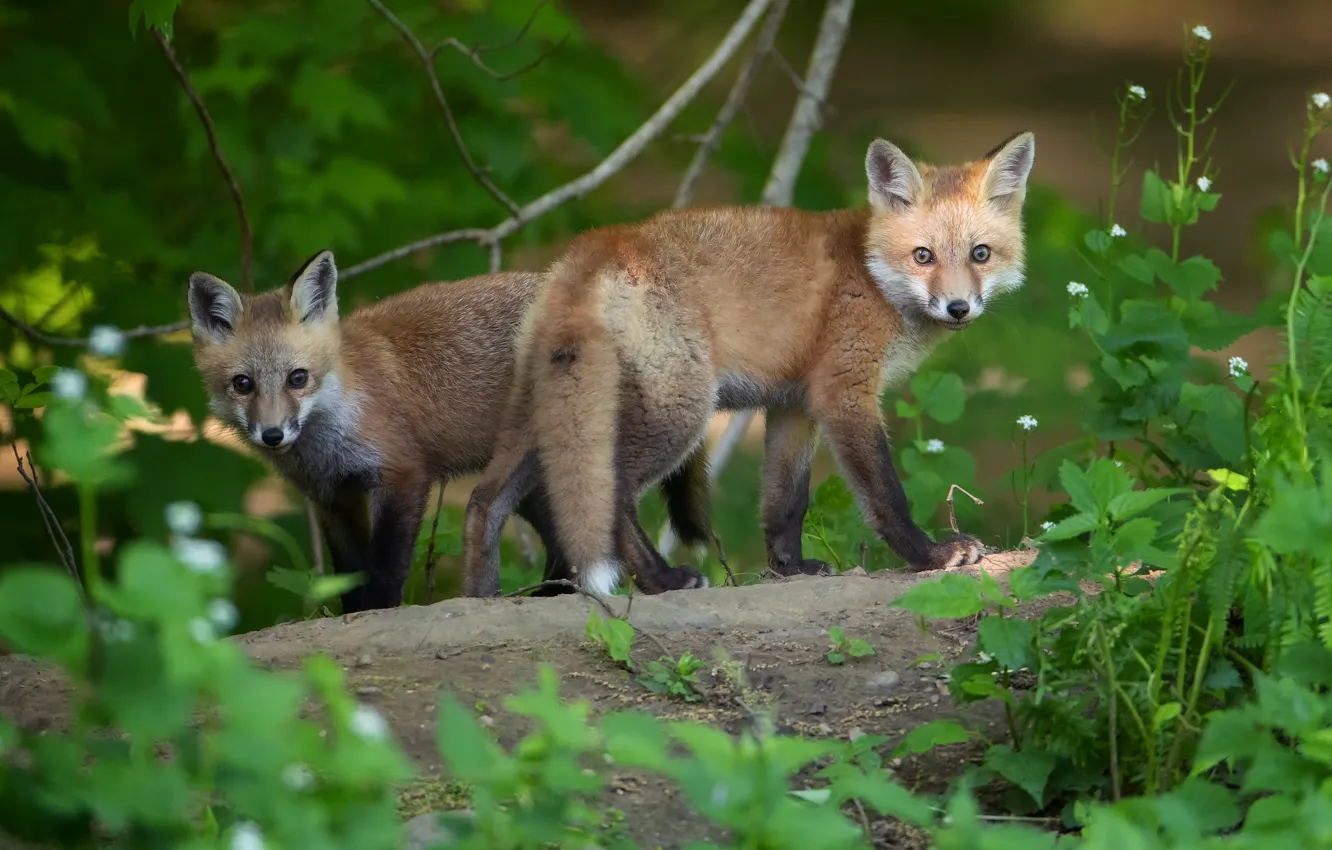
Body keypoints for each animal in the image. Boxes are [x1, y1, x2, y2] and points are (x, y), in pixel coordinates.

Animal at [185, 250, 714, 613]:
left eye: (298, 378)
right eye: (243, 384)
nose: (273, 435)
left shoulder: (402, 474)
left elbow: (386, 567)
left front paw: (380, 611)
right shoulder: (331, 498)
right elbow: (349, 573)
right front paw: (354, 614)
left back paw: (661, 580)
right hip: (536, 484)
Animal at [460, 131, 1036, 597]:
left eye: (980, 254)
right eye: (923, 256)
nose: (958, 308)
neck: (871, 275)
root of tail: (600, 243)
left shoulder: (795, 405)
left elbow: (785, 503)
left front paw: (790, 569)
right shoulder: (844, 392)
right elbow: (886, 495)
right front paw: (930, 555)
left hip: (547, 415)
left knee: (484, 502)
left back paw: (483, 600)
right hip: (680, 412)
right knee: (612, 492)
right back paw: (660, 579)